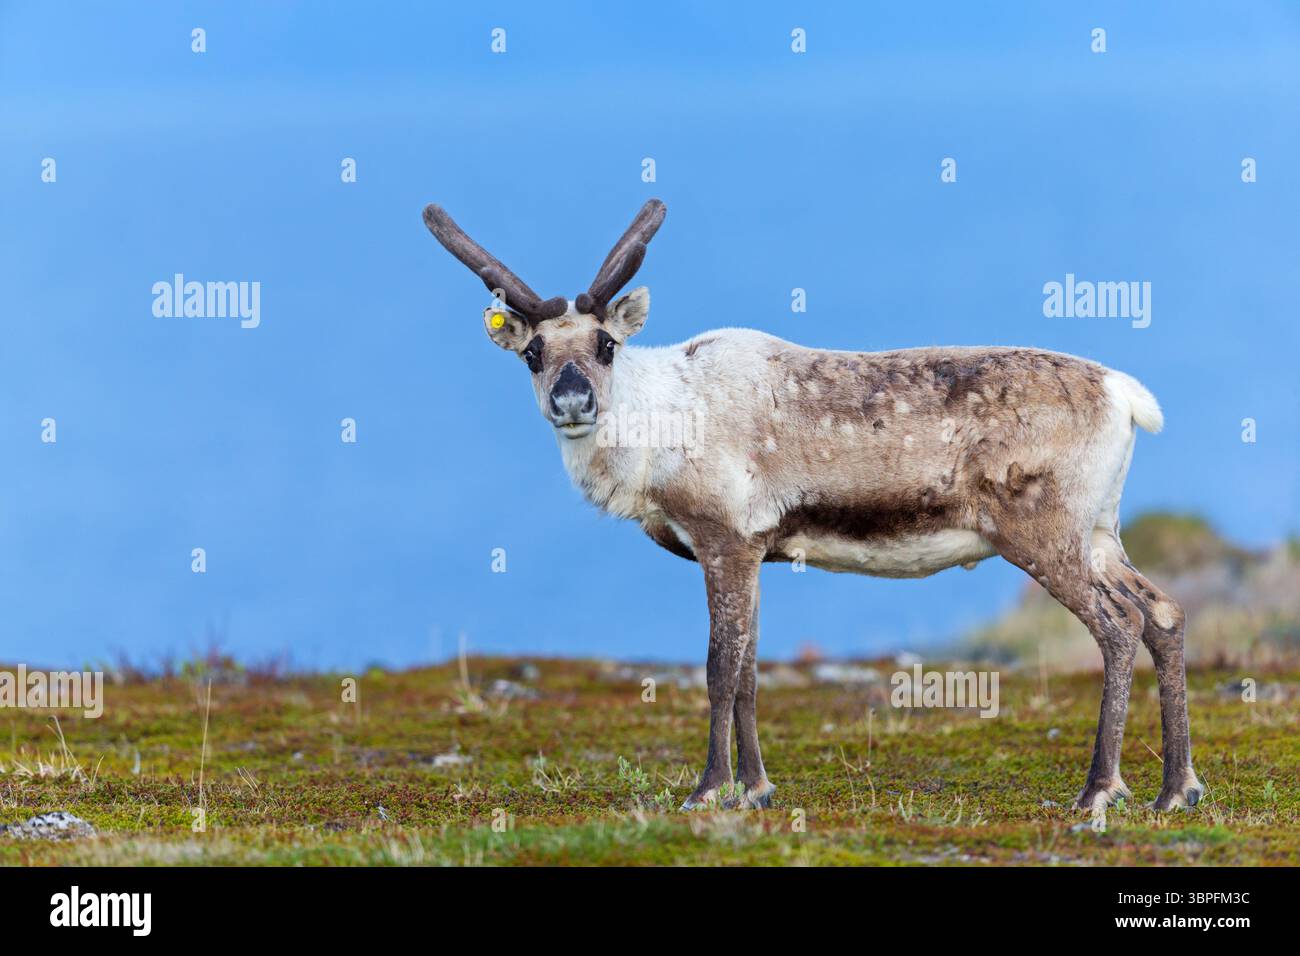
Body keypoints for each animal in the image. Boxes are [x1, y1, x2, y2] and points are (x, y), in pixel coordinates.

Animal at [422, 198, 1202, 813]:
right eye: (533, 354)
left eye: (607, 344)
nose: (572, 399)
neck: (659, 430)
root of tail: (1125, 396)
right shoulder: (760, 548)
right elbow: (749, 671)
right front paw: (757, 787)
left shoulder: (724, 537)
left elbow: (718, 667)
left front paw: (709, 789)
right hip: (1101, 531)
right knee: (1163, 611)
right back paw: (1176, 788)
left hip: (1045, 531)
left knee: (1119, 625)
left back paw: (1099, 790)